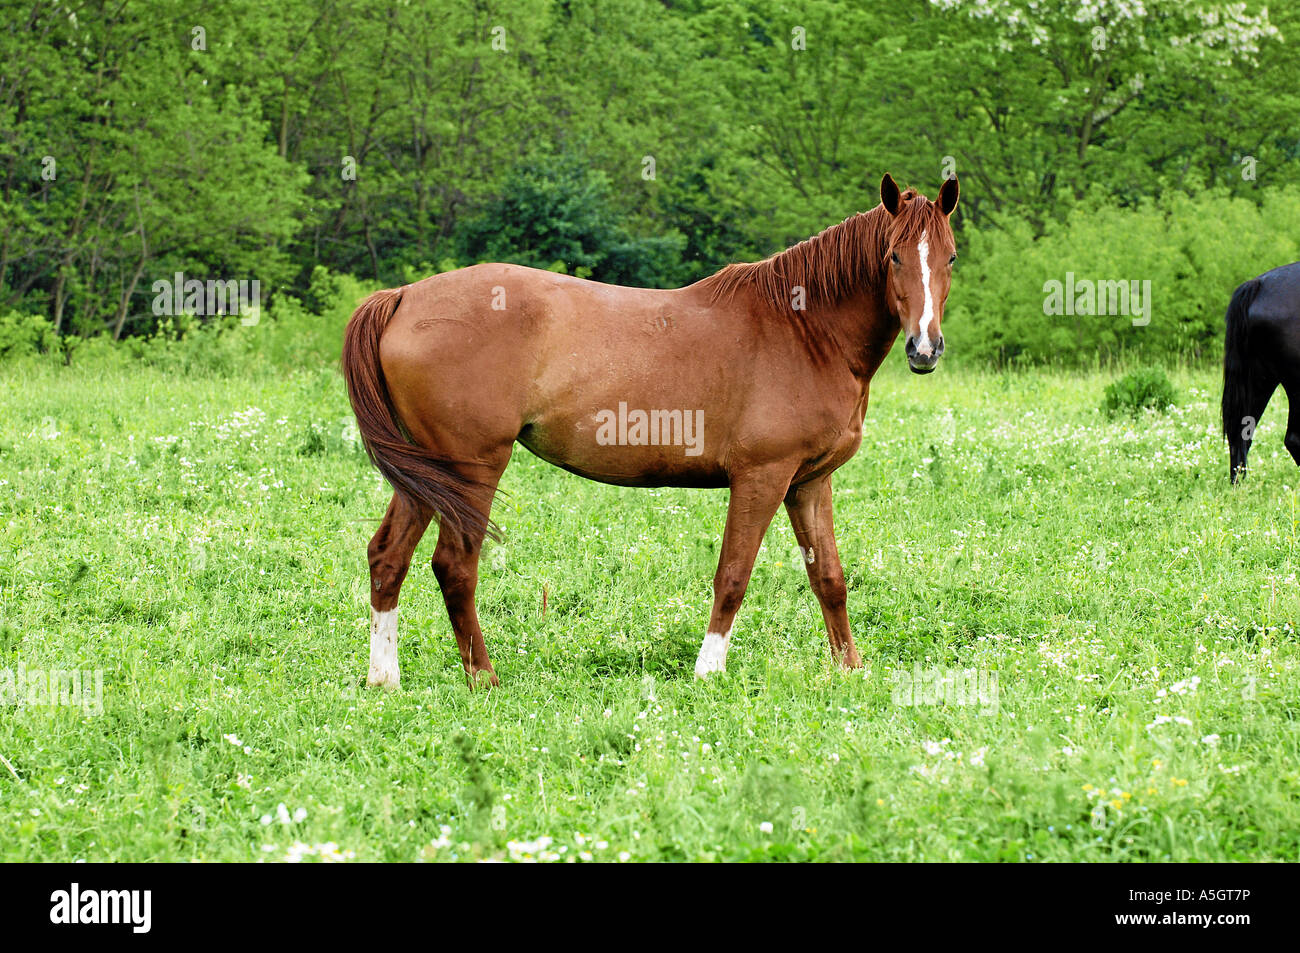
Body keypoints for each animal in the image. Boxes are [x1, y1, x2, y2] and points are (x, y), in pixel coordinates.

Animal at [342, 173, 960, 689]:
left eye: (950, 257)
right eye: (894, 256)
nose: (925, 349)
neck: (803, 329)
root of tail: (402, 298)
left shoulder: (809, 483)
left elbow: (829, 577)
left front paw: (851, 669)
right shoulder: (762, 477)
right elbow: (733, 575)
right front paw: (708, 672)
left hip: (425, 475)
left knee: (388, 558)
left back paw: (384, 679)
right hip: (471, 469)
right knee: (455, 565)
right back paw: (483, 678)